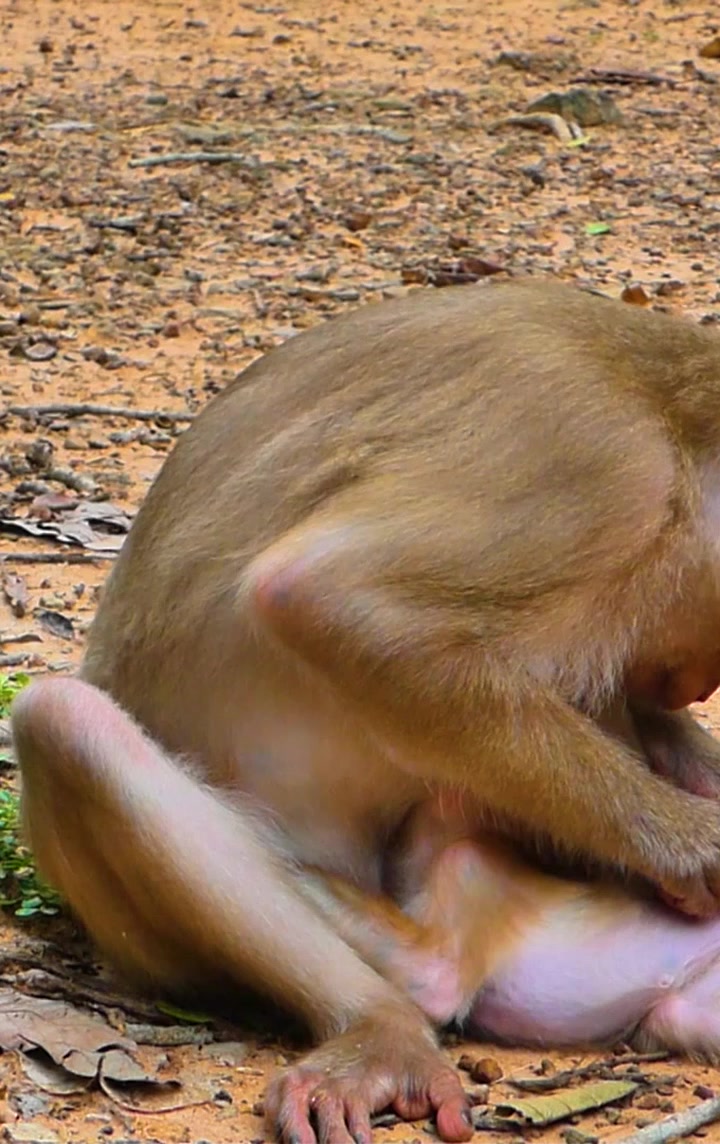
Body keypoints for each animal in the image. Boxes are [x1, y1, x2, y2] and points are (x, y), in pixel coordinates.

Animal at [13, 279, 720, 1142]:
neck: (675, 420)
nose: (696, 688)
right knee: (66, 725)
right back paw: (380, 1025)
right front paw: (697, 850)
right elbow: (334, 602)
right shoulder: (600, 471)